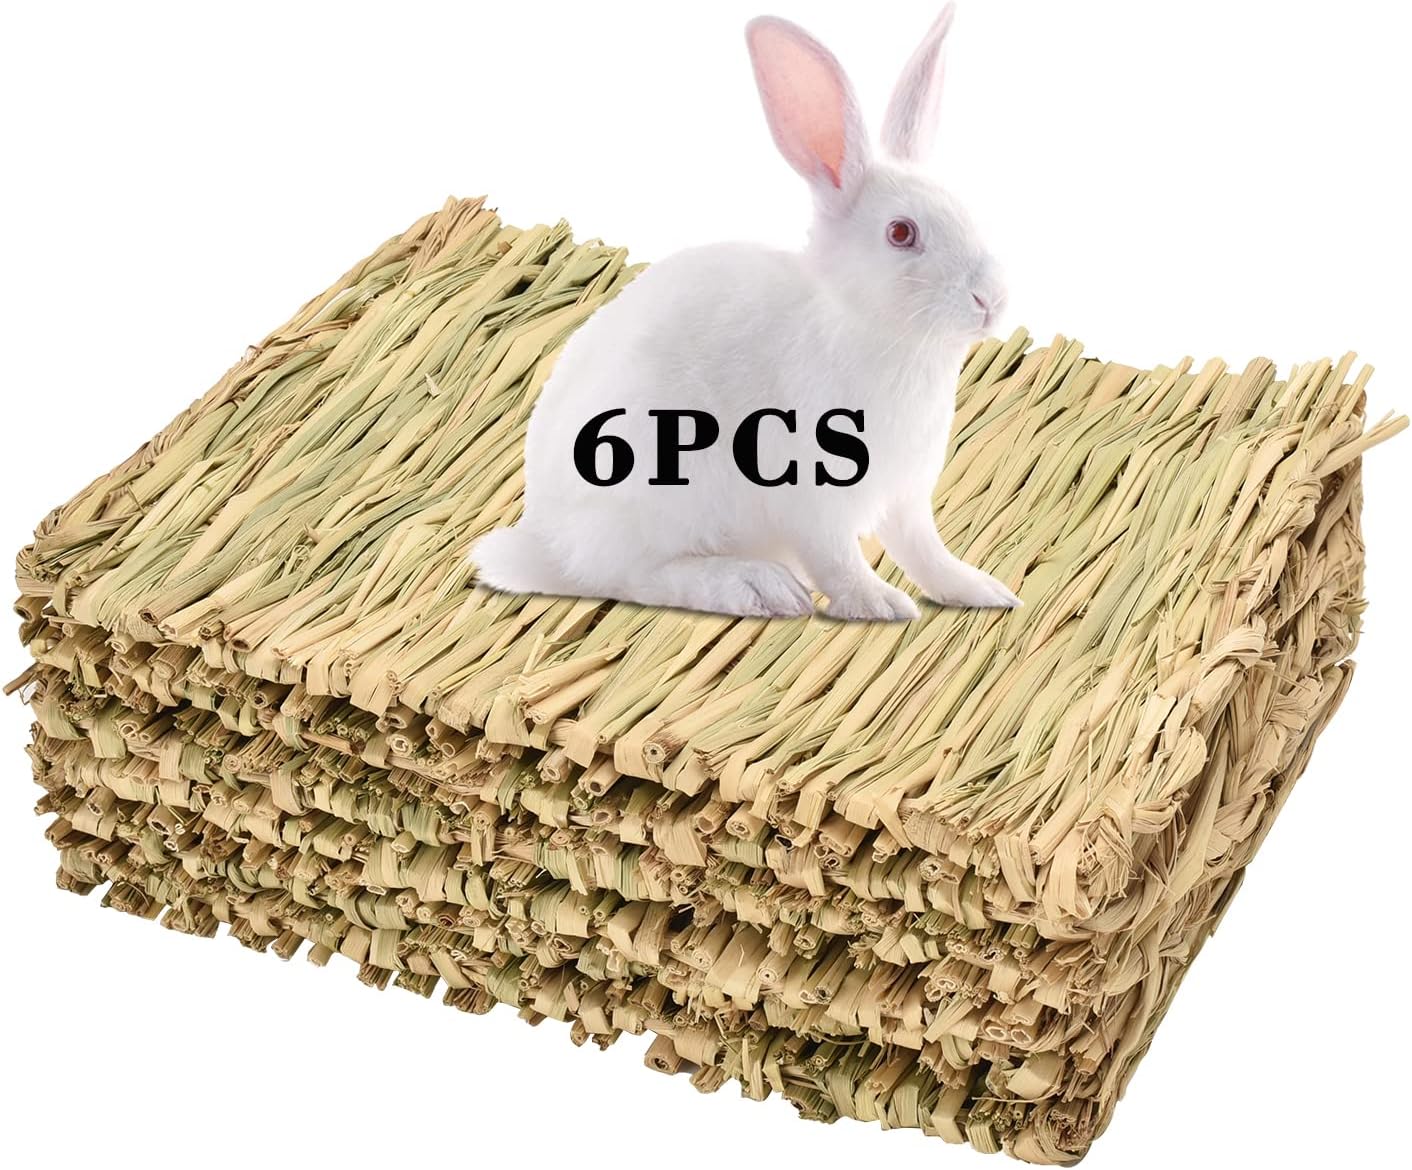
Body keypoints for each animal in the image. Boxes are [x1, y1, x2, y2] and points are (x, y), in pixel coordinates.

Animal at [472, 4, 1020, 621]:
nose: (992, 298)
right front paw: (879, 603)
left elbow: (925, 550)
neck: (873, 331)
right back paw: (756, 586)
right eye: (901, 233)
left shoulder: (908, 495)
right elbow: (837, 560)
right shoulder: (815, 497)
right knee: (635, 576)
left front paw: (980, 590)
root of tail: (548, 545)